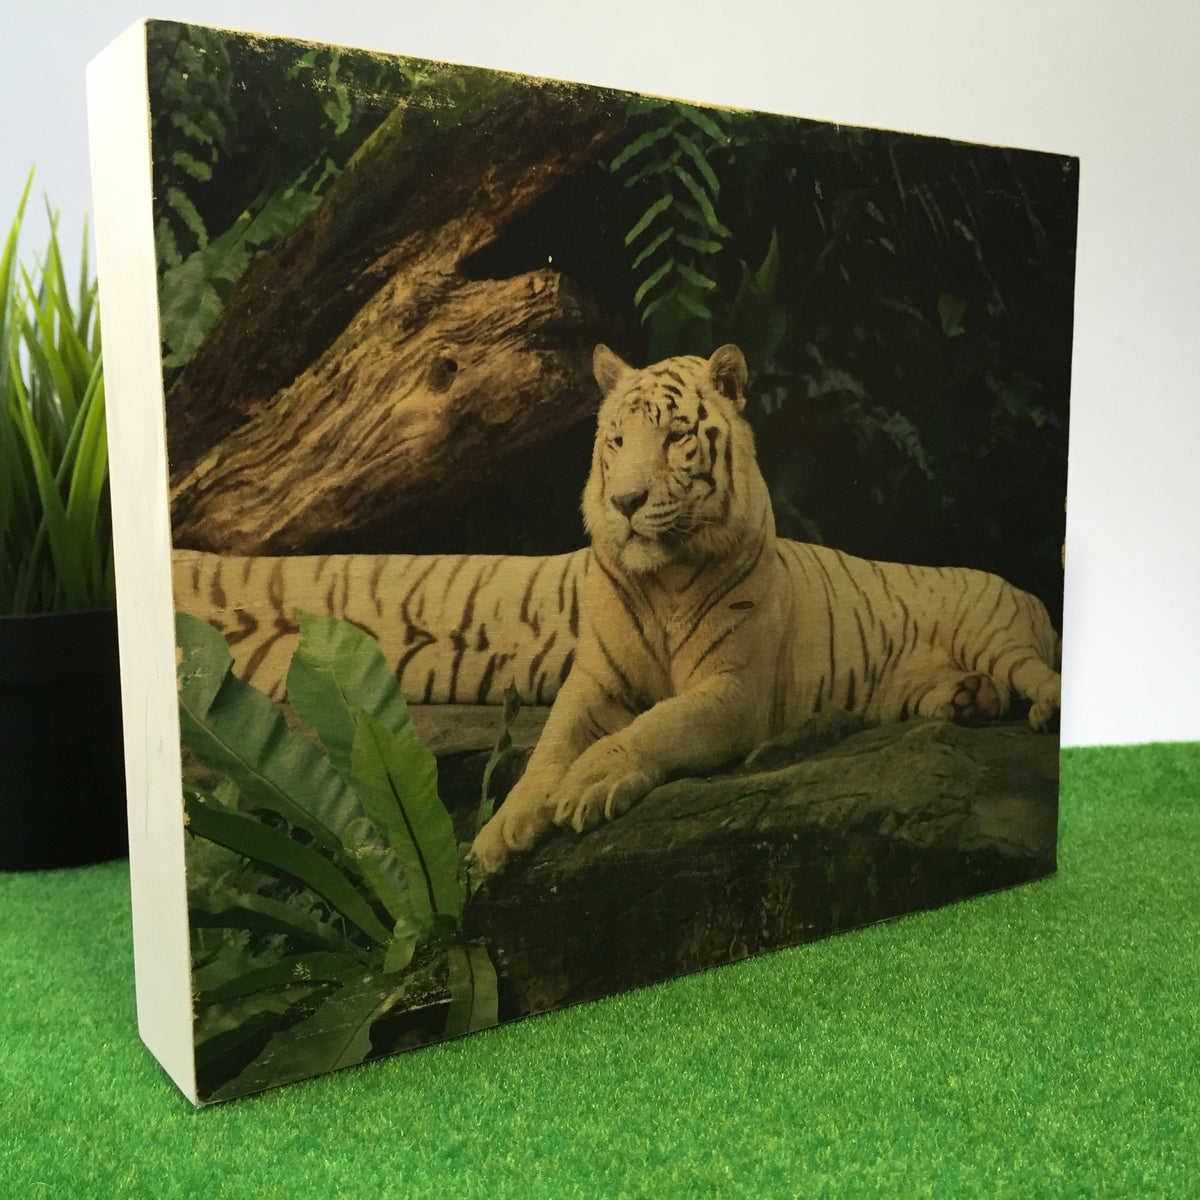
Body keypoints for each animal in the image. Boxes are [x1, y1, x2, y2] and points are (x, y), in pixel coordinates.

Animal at [467, 342, 1062, 875]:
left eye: (675, 437)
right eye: (616, 440)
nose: (625, 502)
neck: (662, 578)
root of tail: (1026, 592)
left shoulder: (735, 689)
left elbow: (659, 725)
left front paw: (589, 782)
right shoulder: (595, 680)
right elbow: (550, 747)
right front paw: (499, 833)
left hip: (994, 635)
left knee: (1038, 674)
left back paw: (1046, 711)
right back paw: (971, 700)